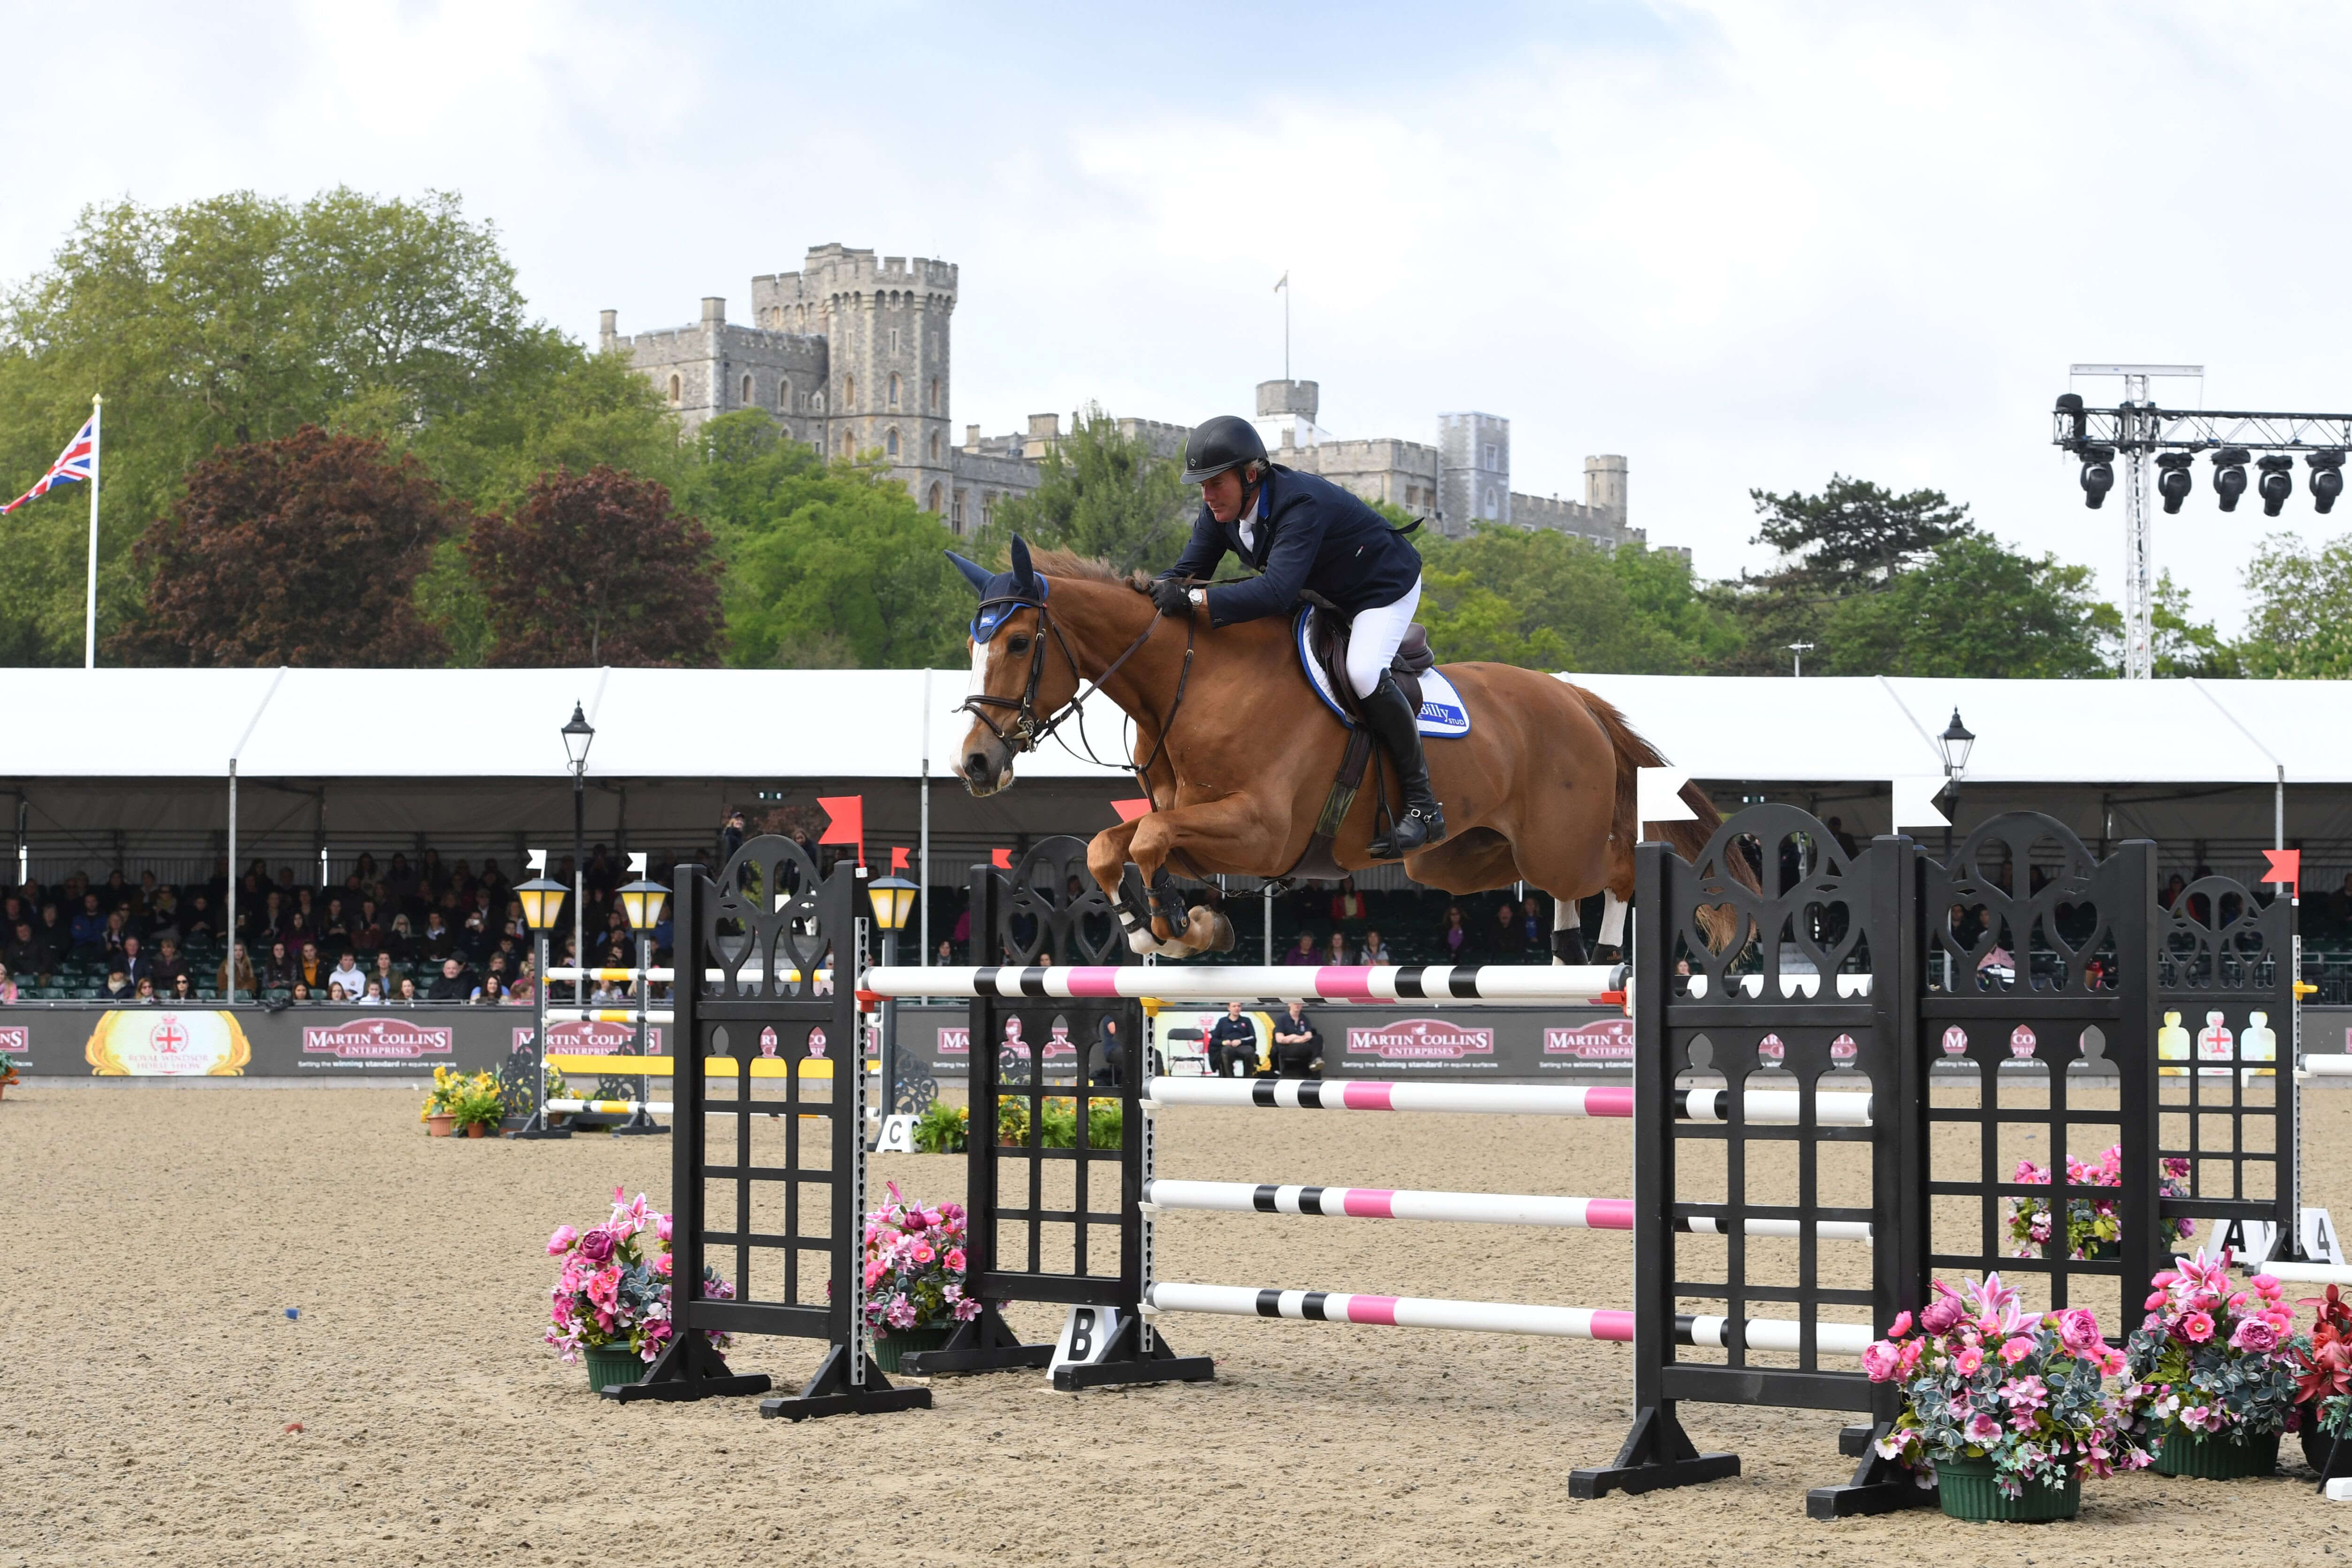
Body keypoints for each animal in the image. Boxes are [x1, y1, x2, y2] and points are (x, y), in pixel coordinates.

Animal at [951, 537, 1728, 958]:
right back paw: (1568, 949)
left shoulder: (1261, 830)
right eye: (971, 645)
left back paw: (1621, 944)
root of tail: (1576, 700)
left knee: (1617, 870)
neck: (1191, 680)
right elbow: (1112, 846)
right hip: (1456, 859)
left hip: (1555, 842)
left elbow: (1143, 840)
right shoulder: (1197, 822)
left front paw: (1173, 925)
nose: (975, 763)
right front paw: (1169, 927)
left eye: (1017, 642)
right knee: (1548, 886)